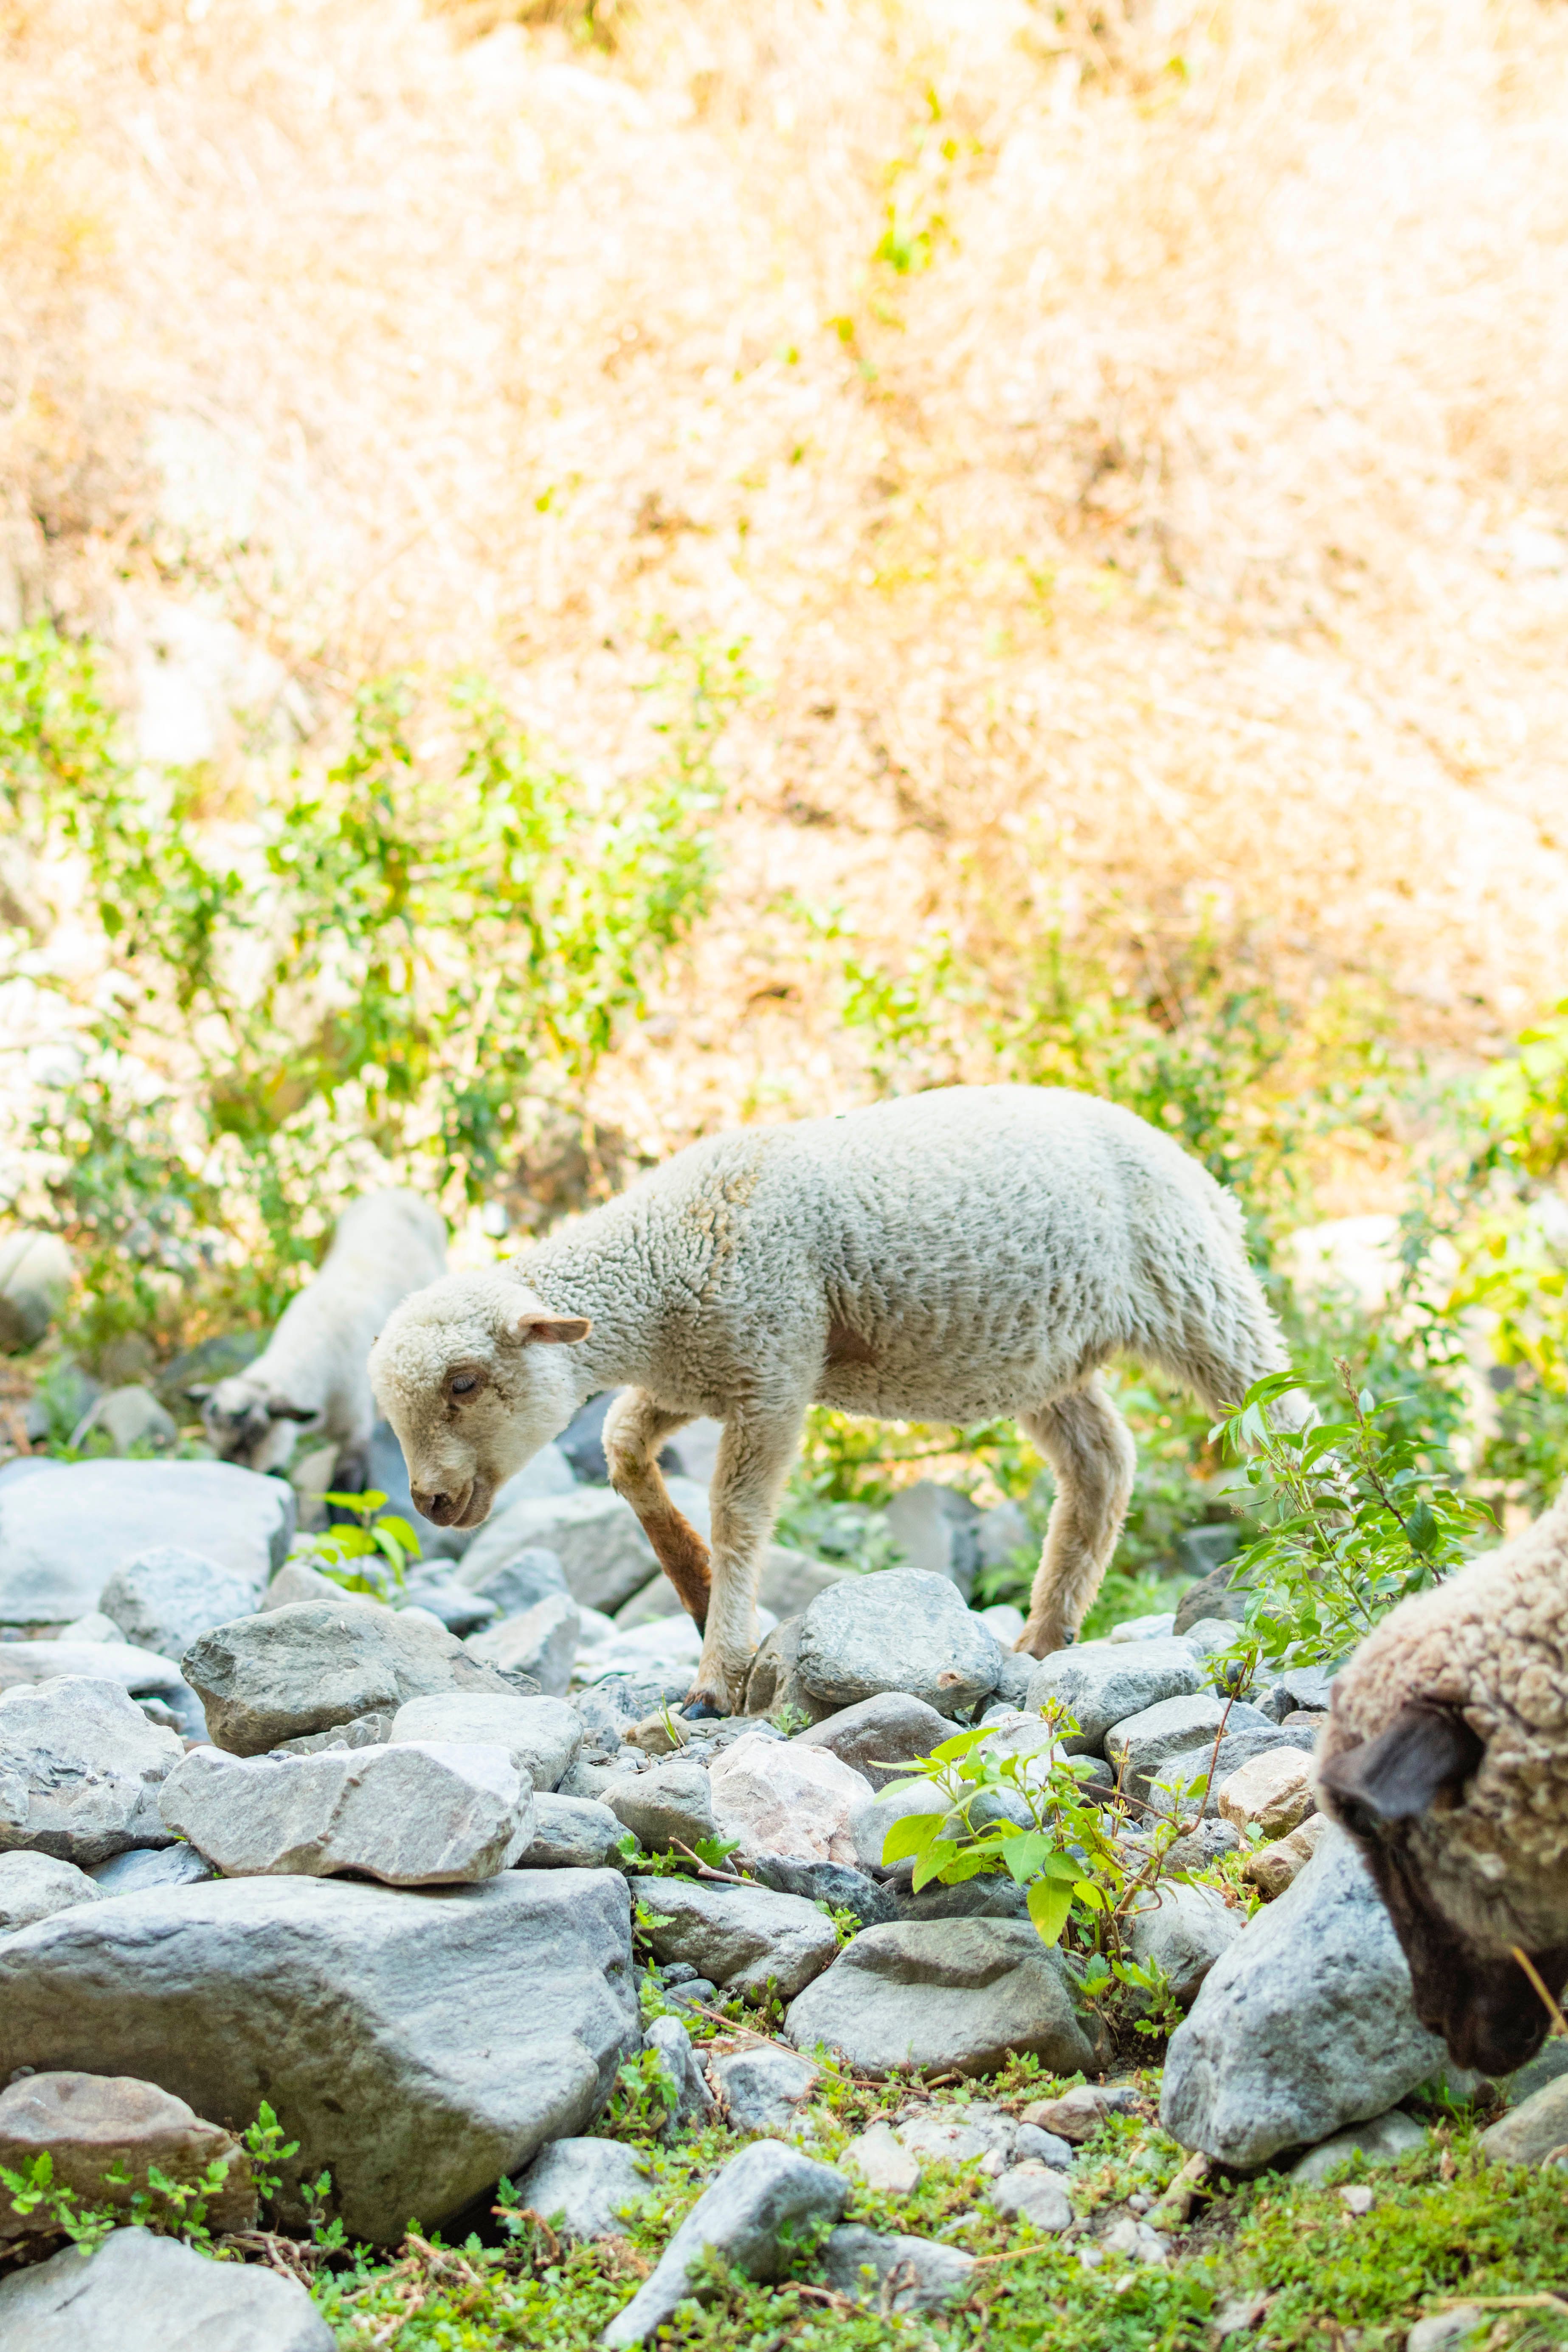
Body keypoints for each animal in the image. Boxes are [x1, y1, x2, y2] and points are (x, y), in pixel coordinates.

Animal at [198, 1189, 447, 1490]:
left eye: (254, 1435)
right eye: (217, 1446)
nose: (234, 1471)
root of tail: (398, 1192)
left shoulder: (354, 1429)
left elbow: (344, 1487)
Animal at [368, 1085, 1294, 1718]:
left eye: (462, 1382)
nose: (429, 1500)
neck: (659, 1266)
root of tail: (1199, 1176)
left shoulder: (772, 1372)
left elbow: (739, 1517)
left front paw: (716, 1670)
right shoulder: (708, 1373)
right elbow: (621, 1446)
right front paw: (694, 1587)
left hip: (1196, 1293)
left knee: (1284, 1423)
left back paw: (1325, 1556)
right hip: (1041, 1354)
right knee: (1102, 1462)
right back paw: (1044, 1633)